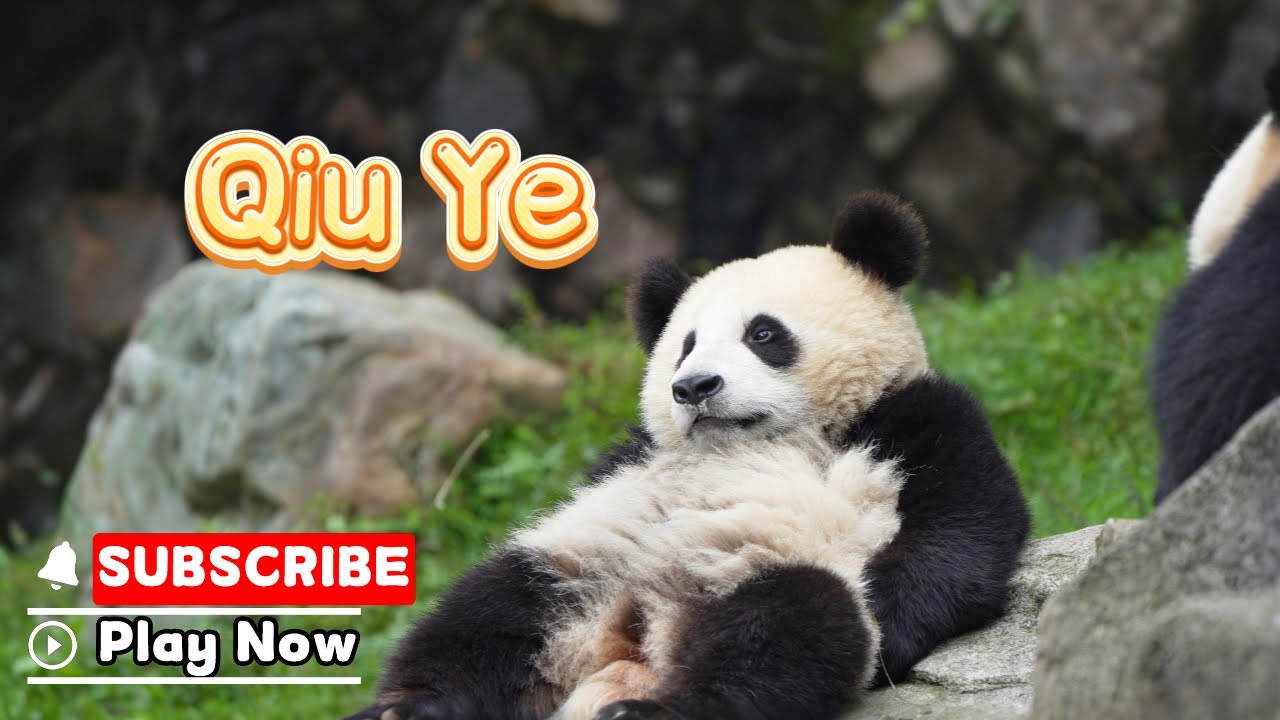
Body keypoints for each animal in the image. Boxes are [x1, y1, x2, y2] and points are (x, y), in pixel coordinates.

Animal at [347, 191, 1031, 720]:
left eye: (763, 333)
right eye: (685, 345)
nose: (694, 387)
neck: (765, 440)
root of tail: (634, 644)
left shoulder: (913, 419)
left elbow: (965, 528)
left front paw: (890, 622)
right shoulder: (628, 459)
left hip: (749, 571)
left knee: (786, 631)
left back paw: (650, 711)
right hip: (580, 571)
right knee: (489, 613)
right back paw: (406, 708)